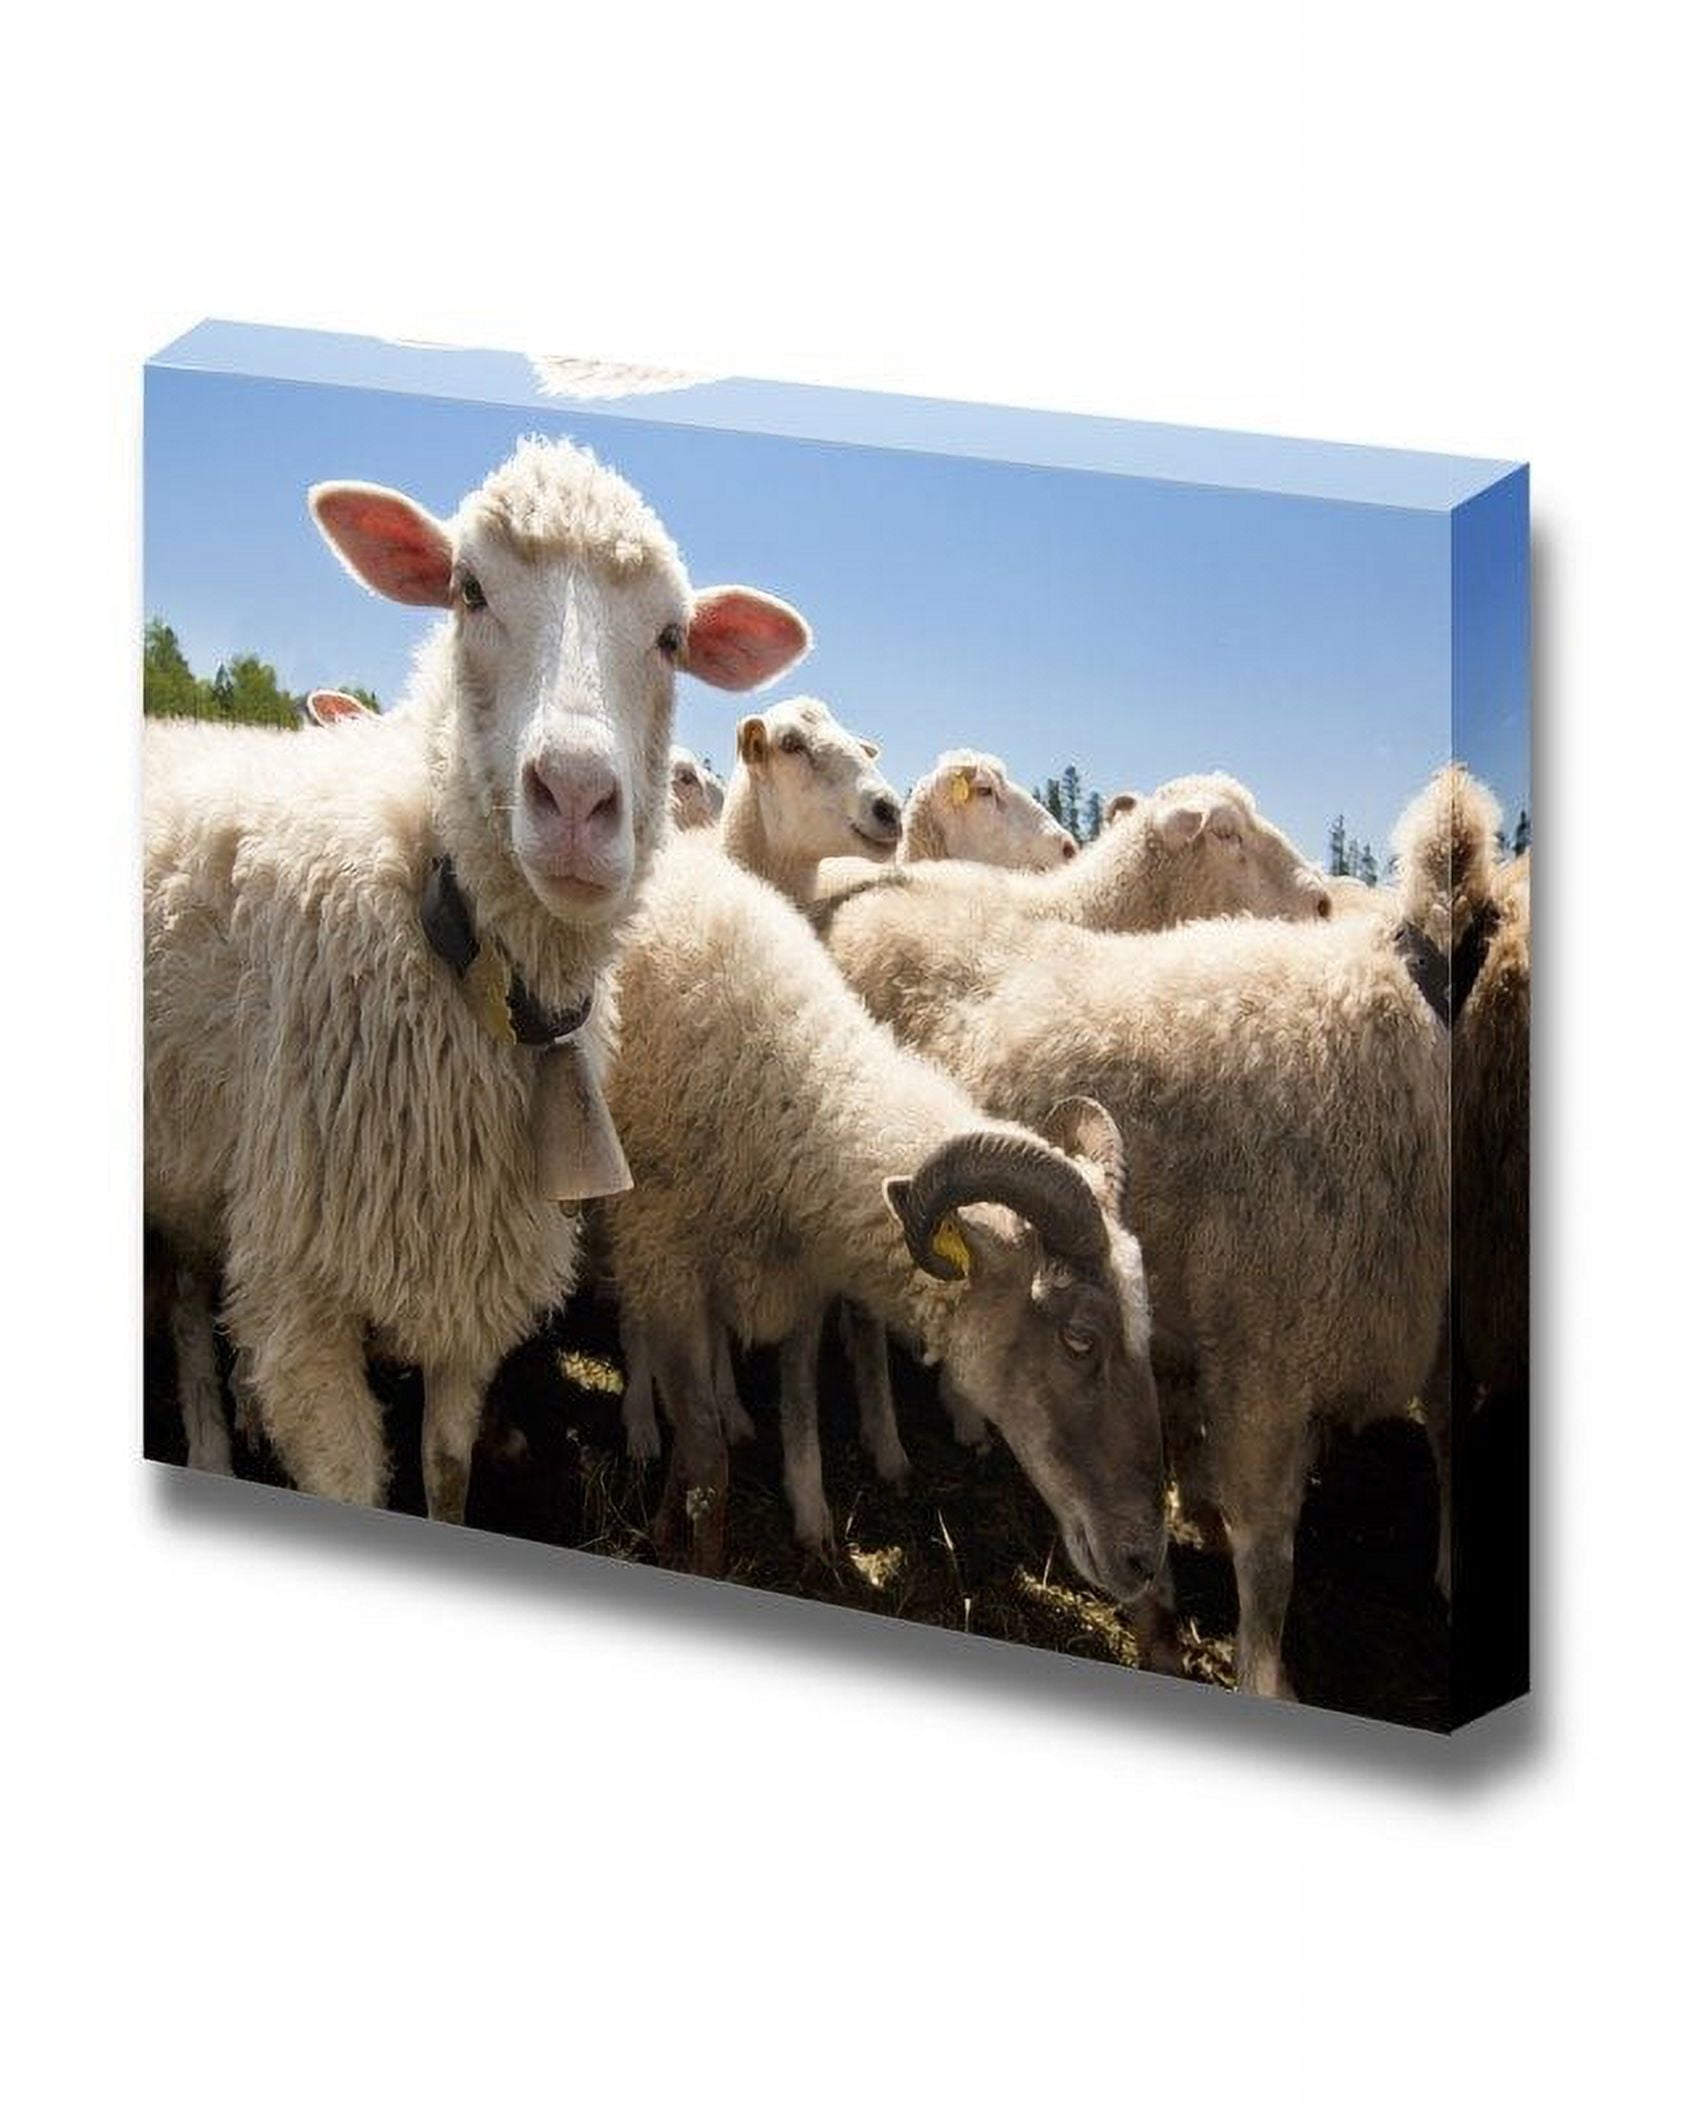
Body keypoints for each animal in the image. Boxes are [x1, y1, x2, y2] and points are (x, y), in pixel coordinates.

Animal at [145, 435, 811, 1517]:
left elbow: (448, 1467)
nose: (576, 796)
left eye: (671, 638)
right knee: (190, 1315)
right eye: (468, 590)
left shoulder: (473, 1265)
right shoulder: (301, 1293)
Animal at [601, 833, 1167, 1595]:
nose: (1144, 1562)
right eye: (1079, 1339)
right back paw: (638, 1421)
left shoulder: (801, 1283)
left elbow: (795, 1404)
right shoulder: (668, 1261)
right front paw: (690, 1551)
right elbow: (705, 1456)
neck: (793, 1090)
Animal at [819, 883, 1449, 1700]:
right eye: (1079, 1340)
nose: (1138, 1561)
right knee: (860, 1320)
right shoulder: (1267, 1366)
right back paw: (889, 1447)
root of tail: (867, 903)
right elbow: (1268, 1563)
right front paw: (1247, 1670)